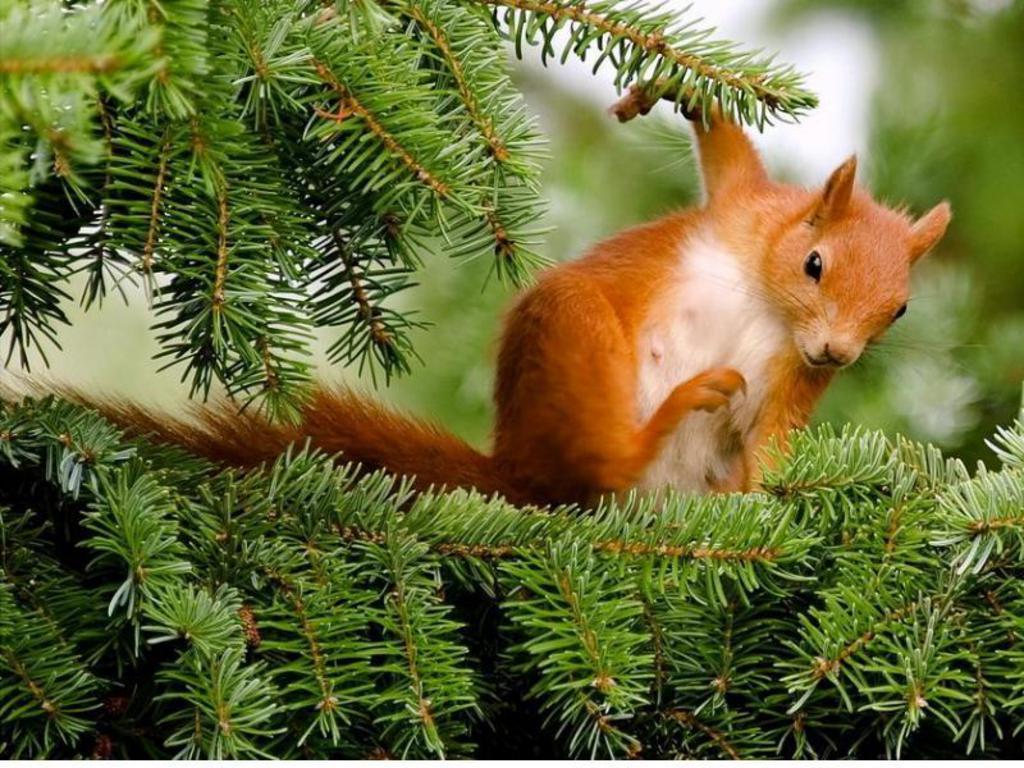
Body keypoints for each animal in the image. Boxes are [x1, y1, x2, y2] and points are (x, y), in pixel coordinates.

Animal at [76, 110, 951, 508]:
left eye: (900, 311)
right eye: (814, 263)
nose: (837, 354)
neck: (769, 308)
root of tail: (515, 474)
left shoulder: (789, 386)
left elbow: (773, 455)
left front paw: (784, 506)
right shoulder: (742, 206)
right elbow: (728, 148)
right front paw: (671, 90)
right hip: (574, 331)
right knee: (598, 460)